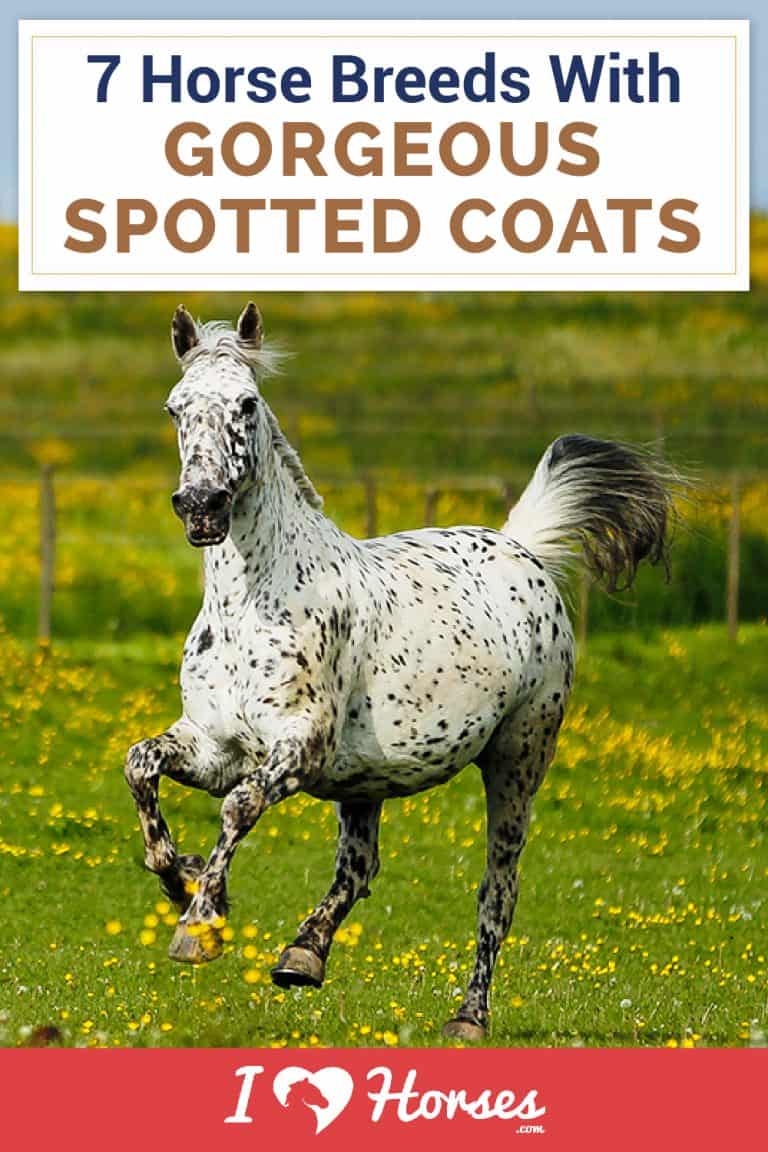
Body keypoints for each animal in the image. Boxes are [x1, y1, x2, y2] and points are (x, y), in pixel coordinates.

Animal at [125, 301, 673, 1042]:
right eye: (175, 407)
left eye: (246, 404)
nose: (201, 506)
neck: (253, 604)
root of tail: (520, 547)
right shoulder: (213, 747)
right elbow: (142, 764)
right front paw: (179, 876)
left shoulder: (297, 748)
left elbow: (239, 805)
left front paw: (199, 923)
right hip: (366, 780)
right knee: (359, 869)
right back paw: (302, 955)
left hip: (519, 760)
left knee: (498, 891)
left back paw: (468, 1016)